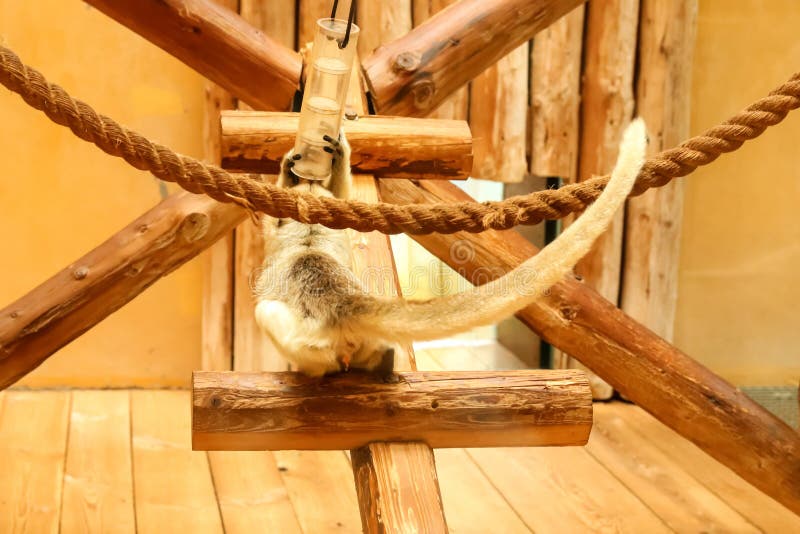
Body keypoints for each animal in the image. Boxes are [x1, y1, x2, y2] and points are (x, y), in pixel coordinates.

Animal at [253, 119, 648, 378]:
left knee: (267, 314)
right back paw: (383, 362)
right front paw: (334, 157)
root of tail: (342, 304)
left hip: (306, 341)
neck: (309, 239)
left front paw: (289, 171)